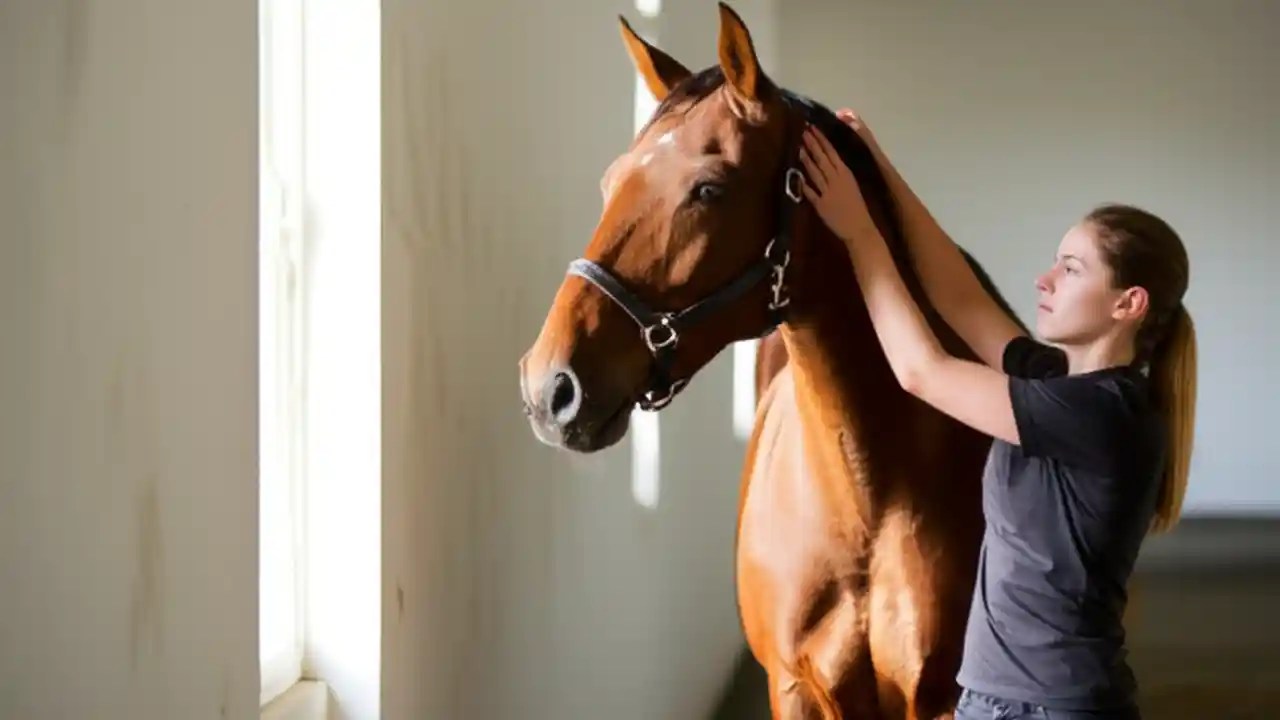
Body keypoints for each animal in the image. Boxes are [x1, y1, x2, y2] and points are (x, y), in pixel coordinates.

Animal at [518, 4, 1024, 717]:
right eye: (611, 182)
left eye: (708, 189)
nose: (549, 387)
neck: (868, 500)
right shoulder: (793, 687)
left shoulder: (946, 697)